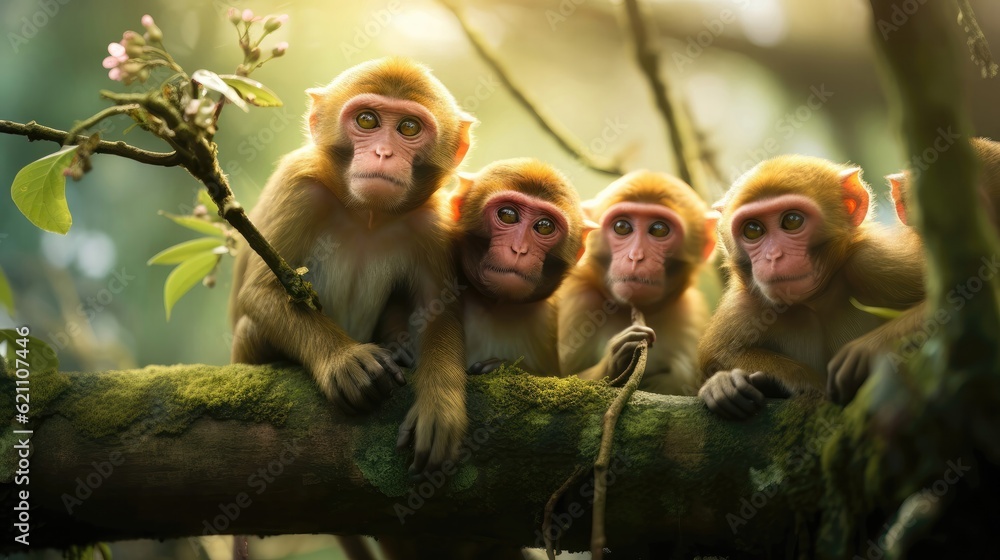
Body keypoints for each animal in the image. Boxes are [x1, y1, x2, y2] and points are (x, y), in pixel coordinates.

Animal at [229, 57, 474, 473]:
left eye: (409, 128)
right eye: (367, 121)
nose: (383, 154)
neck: (368, 216)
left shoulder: (434, 221)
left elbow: (437, 311)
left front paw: (440, 405)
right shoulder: (297, 188)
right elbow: (260, 291)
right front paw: (343, 360)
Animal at [557, 170, 717, 395]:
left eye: (659, 229)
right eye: (622, 227)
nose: (636, 257)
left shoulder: (689, 313)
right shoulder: (577, 303)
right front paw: (619, 356)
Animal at [697, 155, 927, 418]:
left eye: (792, 221)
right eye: (753, 230)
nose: (773, 256)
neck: (815, 301)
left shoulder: (873, 262)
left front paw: (865, 351)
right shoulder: (744, 307)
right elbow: (715, 356)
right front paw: (727, 384)